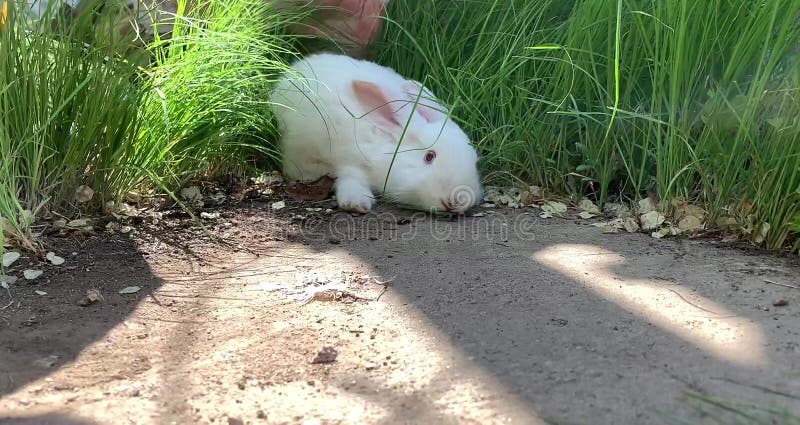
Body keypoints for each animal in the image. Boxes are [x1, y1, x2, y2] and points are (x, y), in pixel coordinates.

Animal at [271, 53, 482, 213]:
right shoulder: (348, 160)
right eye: (429, 157)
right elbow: (350, 178)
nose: (459, 199)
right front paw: (357, 203)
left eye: (475, 161)